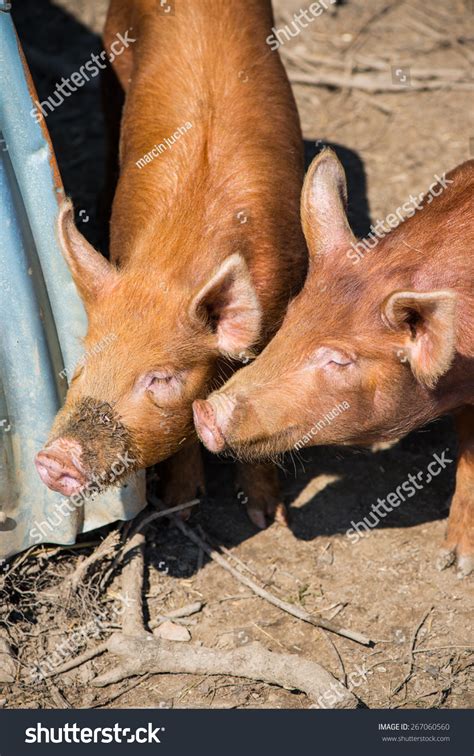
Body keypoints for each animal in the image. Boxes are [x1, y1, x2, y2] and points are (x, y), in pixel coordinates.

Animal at [34, 0, 307, 528]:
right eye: (84, 361)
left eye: (161, 378)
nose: (55, 458)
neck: (174, 267)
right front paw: (182, 508)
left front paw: (264, 518)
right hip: (112, 56)